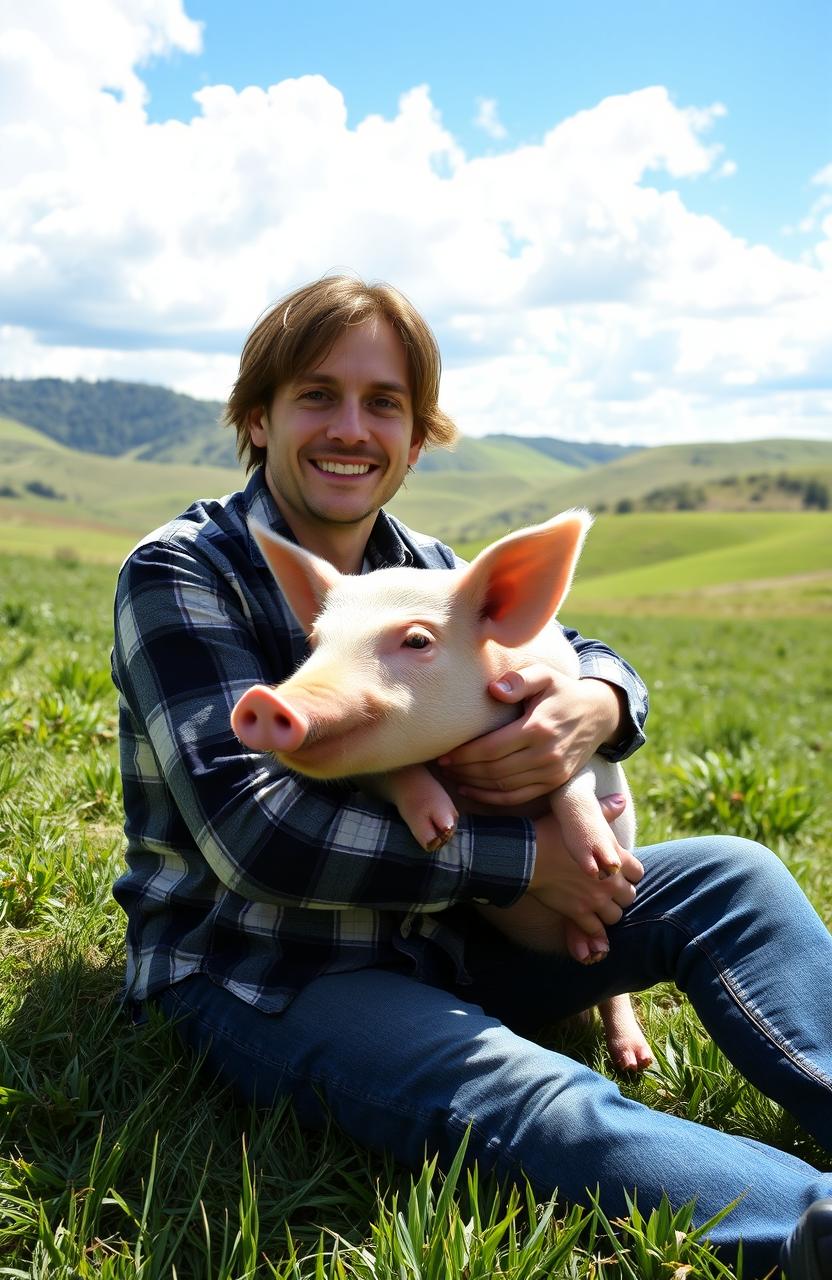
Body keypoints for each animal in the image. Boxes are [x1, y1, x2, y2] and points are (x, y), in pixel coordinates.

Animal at [231, 509, 652, 1071]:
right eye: (315, 643)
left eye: (417, 641)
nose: (262, 701)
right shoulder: (374, 772)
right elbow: (396, 773)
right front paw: (439, 830)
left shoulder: (583, 751)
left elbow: (572, 784)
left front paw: (602, 864)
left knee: (613, 987)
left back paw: (631, 1051)